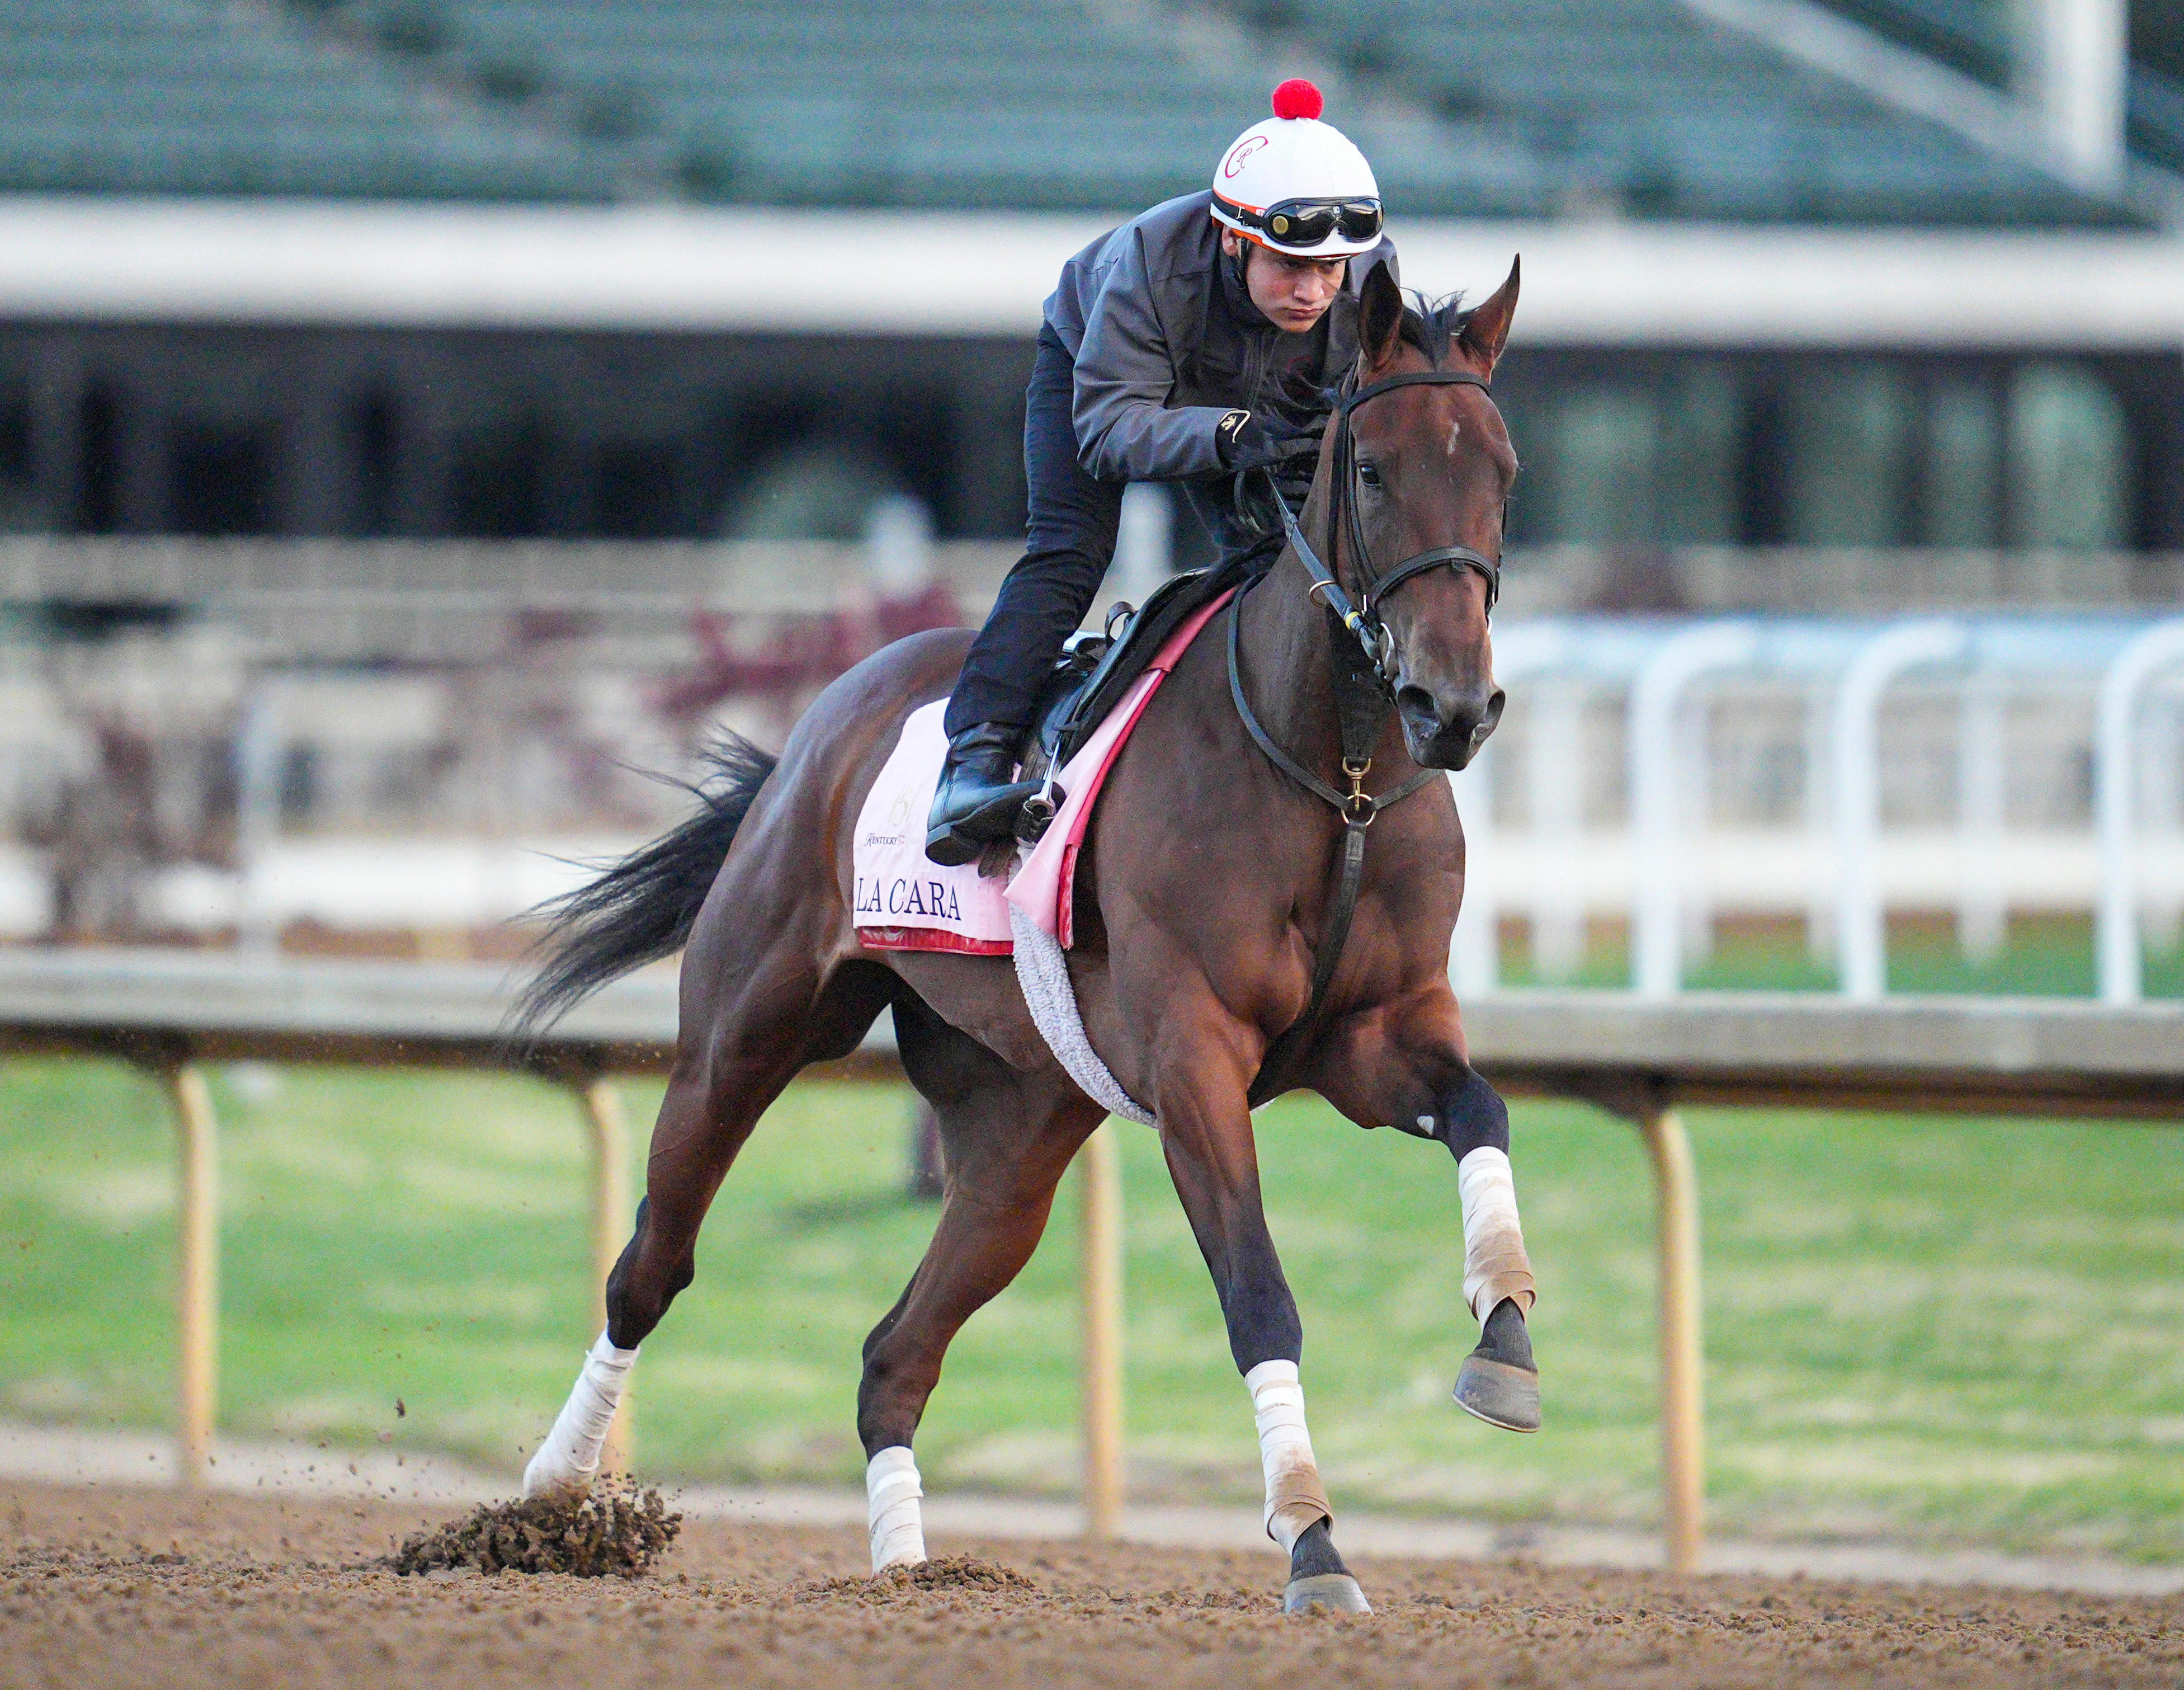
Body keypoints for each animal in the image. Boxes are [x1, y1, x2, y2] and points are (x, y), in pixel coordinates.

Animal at [516, 257, 1538, 1616]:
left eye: (1502, 474)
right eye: (1370, 469)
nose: (1454, 703)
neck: (1339, 776)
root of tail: (816, 728)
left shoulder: (1375, 1035)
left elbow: (1482, 1110)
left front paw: (1505, 1337)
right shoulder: (1194, 1059)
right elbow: (1257, 1294)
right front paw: (1313, 1541)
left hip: (1016, 1133)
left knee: (893, 1352)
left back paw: (905, 1573)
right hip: (743, 1037)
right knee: (651, 1265)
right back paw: (552, 1495)